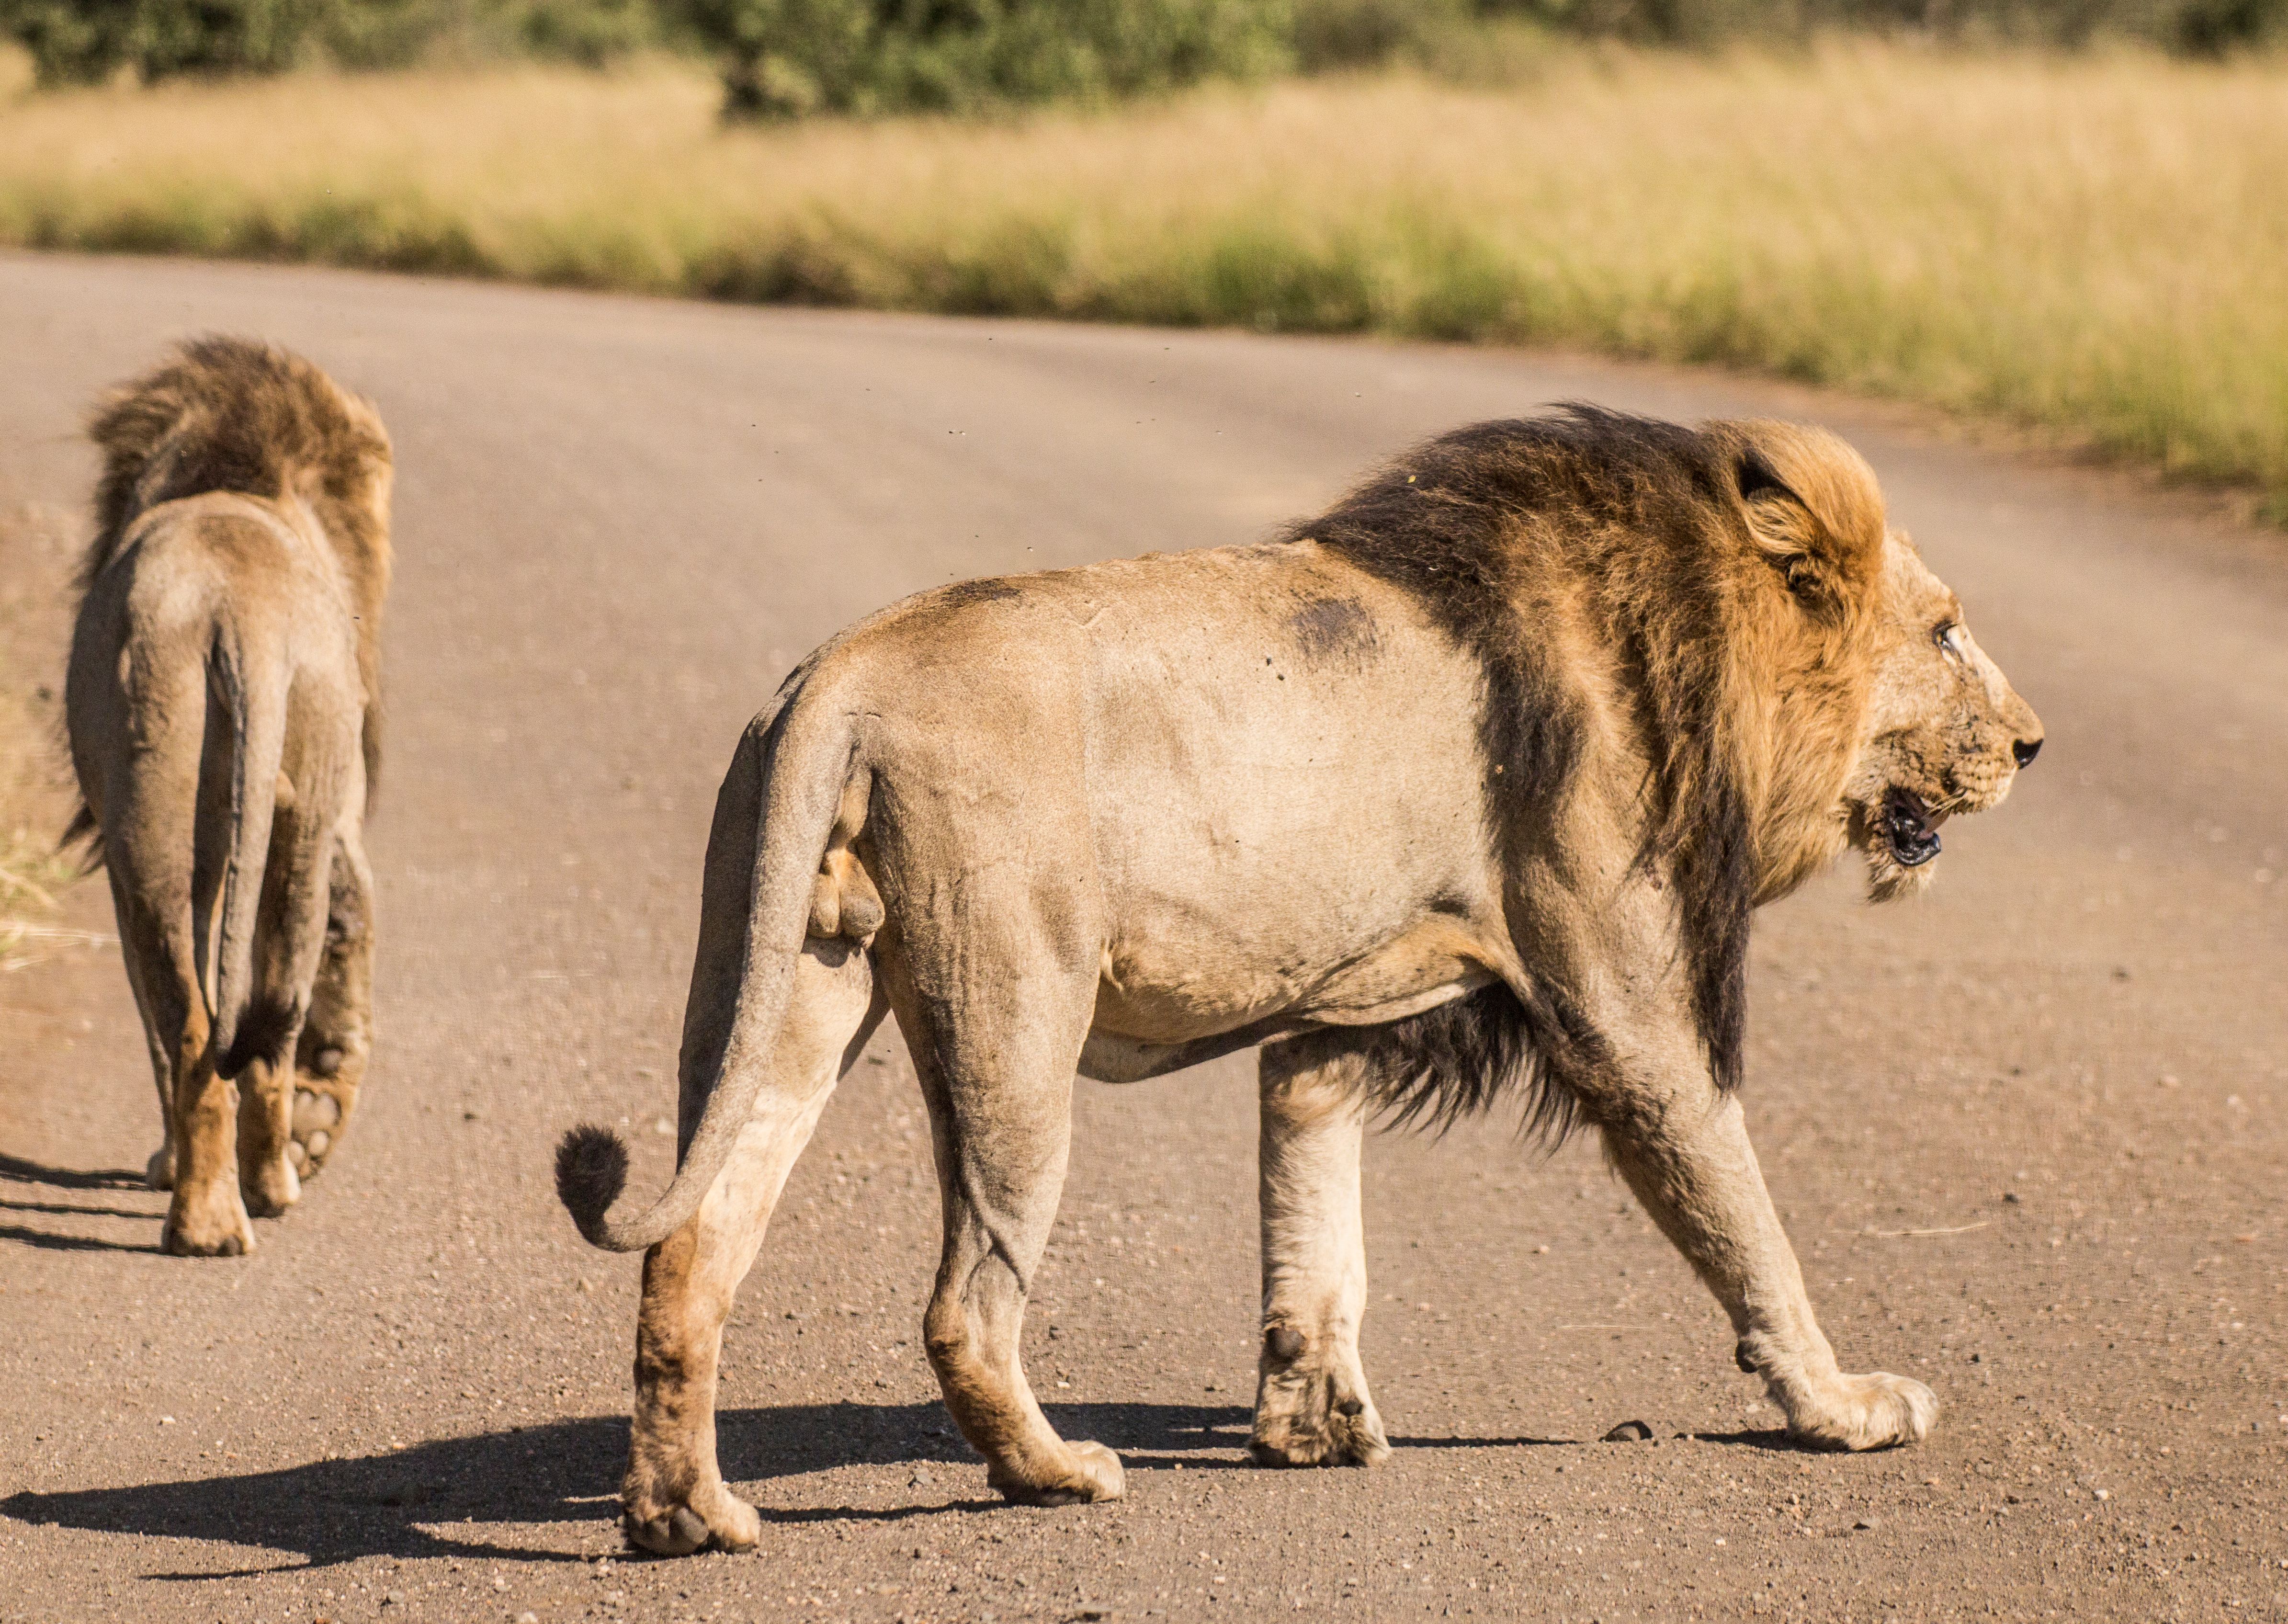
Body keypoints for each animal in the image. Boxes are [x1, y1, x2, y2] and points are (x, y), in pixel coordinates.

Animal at [64, 336, 391, 1257]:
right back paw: (256, 1192)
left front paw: (163, 1163)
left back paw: (217, 1208)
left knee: (195, 1022)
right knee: (259, 1016)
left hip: (161, 831)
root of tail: (239, 614)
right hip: (292, 796)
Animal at [556, 406, 2042, 1555]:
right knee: (965, 1305)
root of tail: (841, 675)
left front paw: (1310, 1421)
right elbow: (1746, 1219)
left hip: (780, 986)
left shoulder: (1335, 1018)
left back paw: (686, 1515)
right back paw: (1053, 1472)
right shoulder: (1626, 1009)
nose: (2033, 741)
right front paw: (1842, 1405)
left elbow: (1311, 1221)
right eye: (1946, 632)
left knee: (691, 1249)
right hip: (1014, 1020)